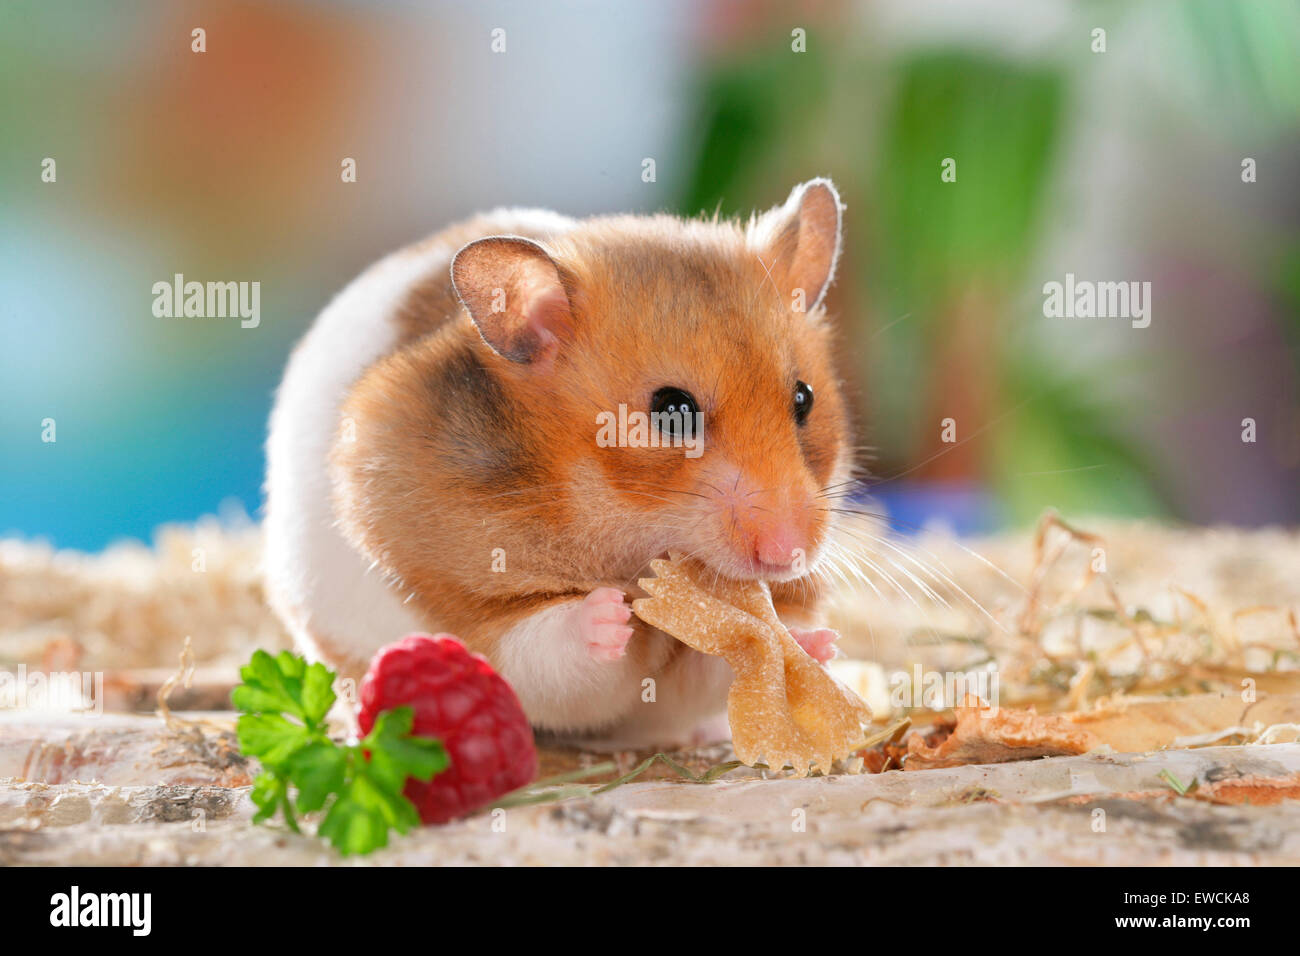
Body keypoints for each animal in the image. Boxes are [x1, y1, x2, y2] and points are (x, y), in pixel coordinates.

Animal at [264, 178, 853, 745]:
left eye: (804, 398)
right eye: (671, 411)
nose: (789, 554)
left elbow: (718, 660)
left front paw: (816, 641)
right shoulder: (474, 613)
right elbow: (547, 646)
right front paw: (611, 614)